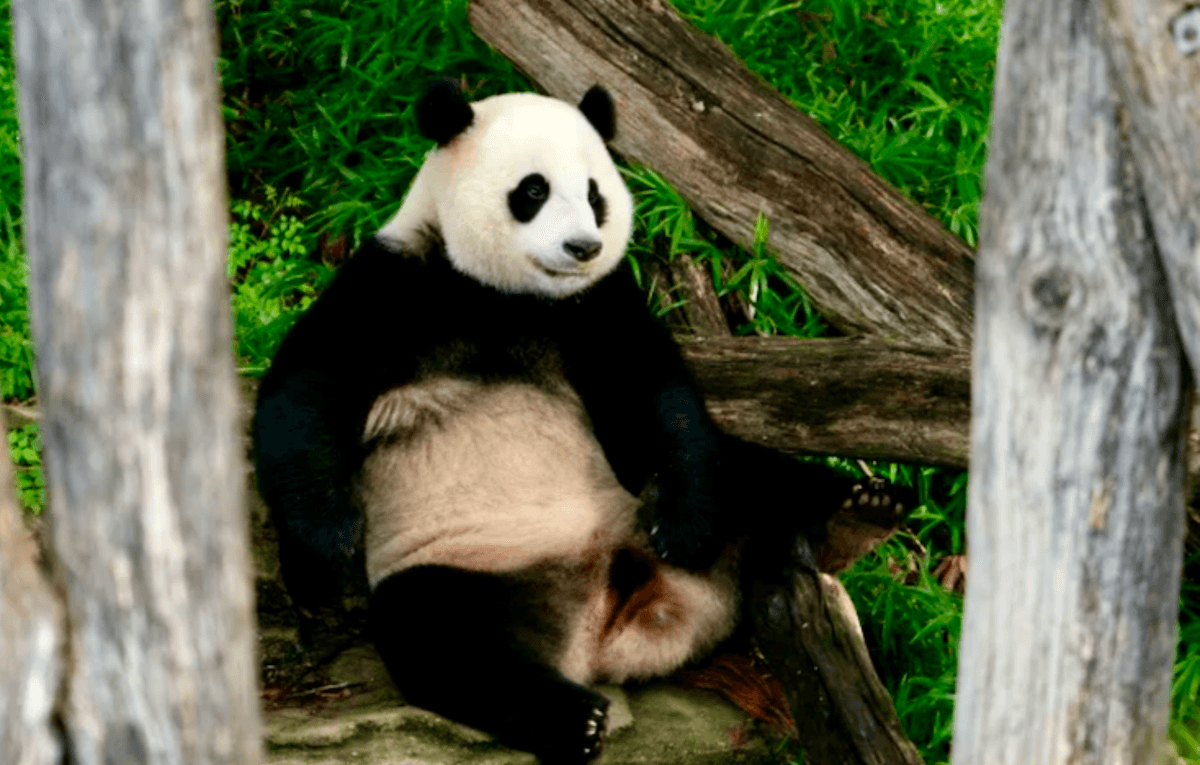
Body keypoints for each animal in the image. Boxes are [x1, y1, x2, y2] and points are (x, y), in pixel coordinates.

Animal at [253, 79, 910, 764]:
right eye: (533, 190)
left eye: (595, 194)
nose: (583, 248)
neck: (506, 295)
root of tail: (608, 629)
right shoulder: (397, 282)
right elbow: (304, 392)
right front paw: (329, 545)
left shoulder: (595, 304)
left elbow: (657, 396)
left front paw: (686, 528)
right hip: (467, 566)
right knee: (444, 640)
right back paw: (572, 718)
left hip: (642, 500)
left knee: (747, 475)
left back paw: (857, 513)